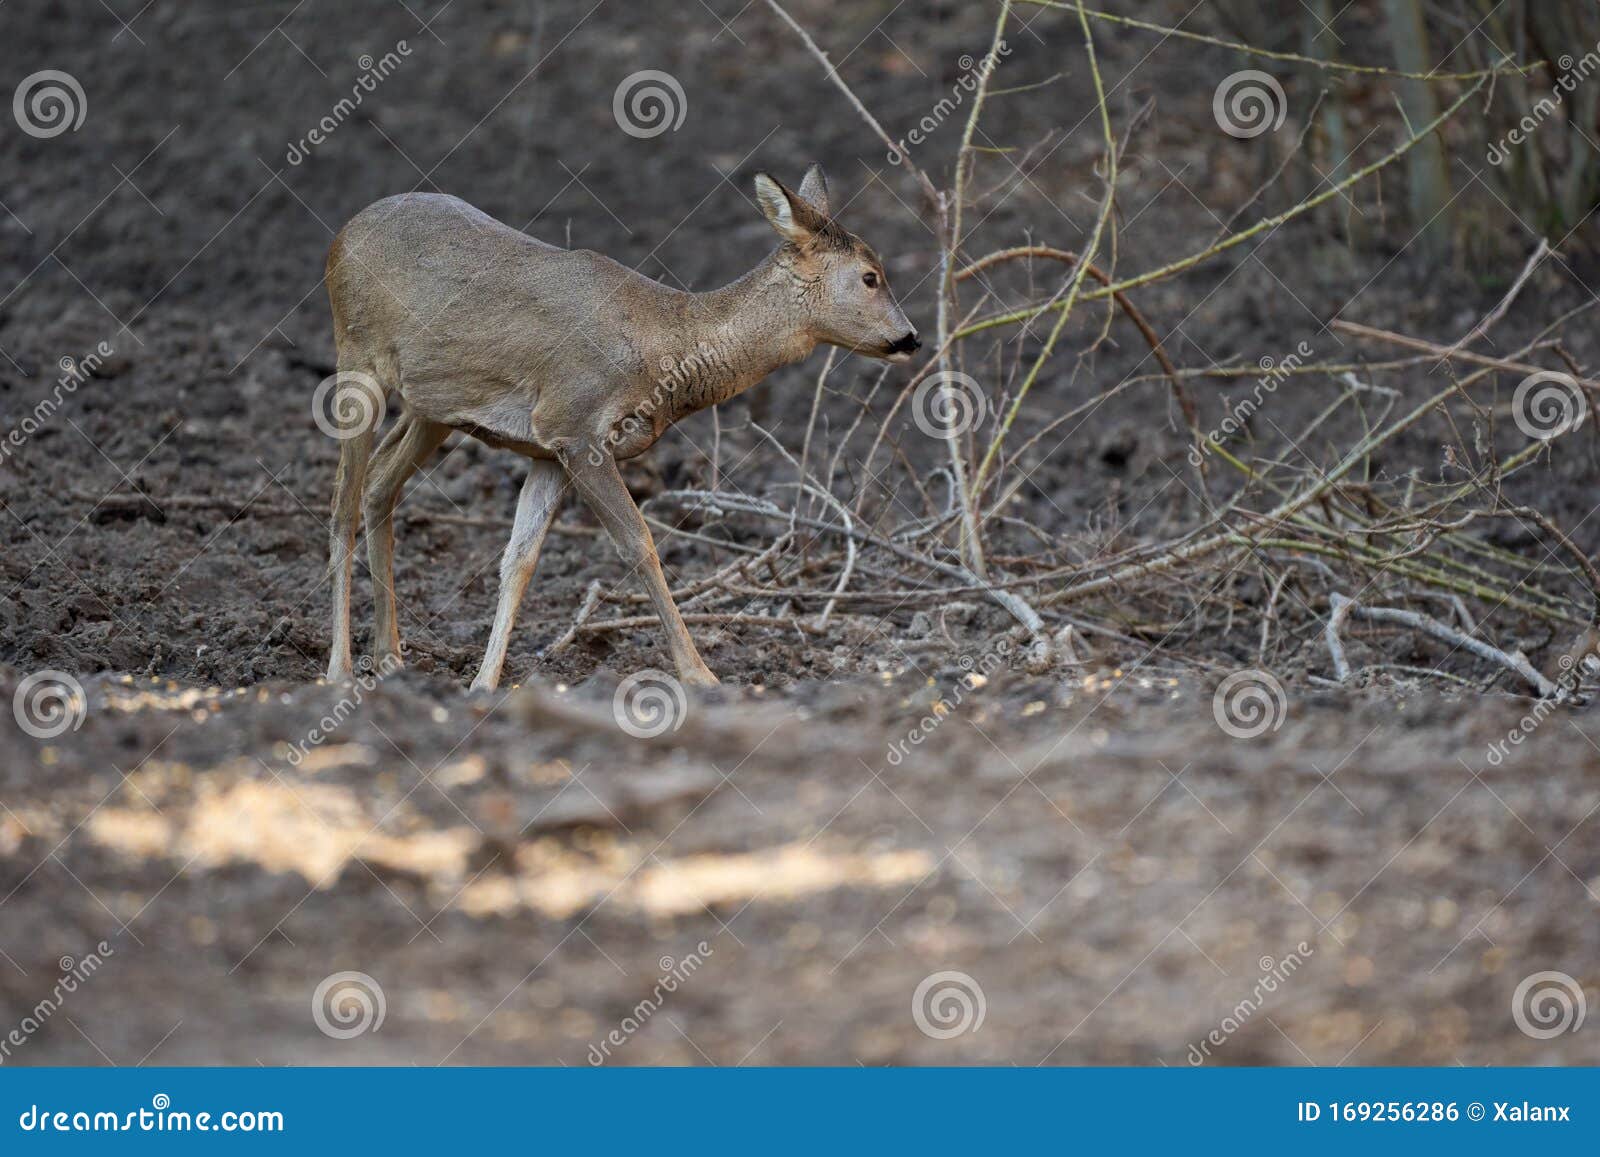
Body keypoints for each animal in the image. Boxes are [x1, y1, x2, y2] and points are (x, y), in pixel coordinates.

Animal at [323, 165, 918, 692]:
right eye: (871, 276)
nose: (911, 337)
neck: (665, 349)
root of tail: (344, 231)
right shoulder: (577, 424)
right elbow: (639, 543)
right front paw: (701, 675)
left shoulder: (548, 446)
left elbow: (520, 560)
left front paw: (483, 684)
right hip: (356, 358)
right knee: (343, 505)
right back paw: (340, 670)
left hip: (432, 407)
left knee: (380, 485)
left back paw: (391, 658)